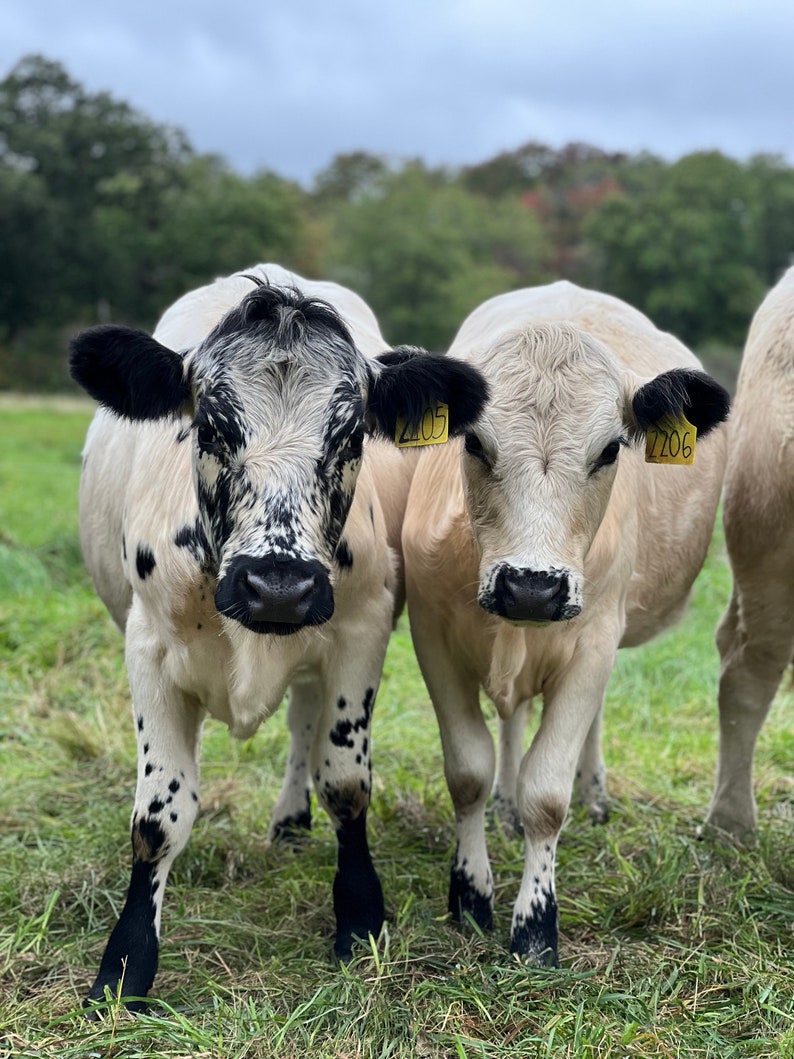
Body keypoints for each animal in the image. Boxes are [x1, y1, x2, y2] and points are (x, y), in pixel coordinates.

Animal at [70, 263, 488, 1010]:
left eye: (350, 436)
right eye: (210, 425)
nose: (279, 586)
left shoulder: (359, 631)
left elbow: (345, 780)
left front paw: (359, 918)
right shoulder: (147, 650)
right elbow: (157, 816)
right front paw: (124, 964)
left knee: (304, 724)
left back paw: (293, 820)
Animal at [402, 280, 730, 965]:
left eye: (609, 450)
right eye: (474, 442)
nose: (532, 586)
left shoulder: (593, 645)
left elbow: (548, 796)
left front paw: (535, 926)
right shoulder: (432, 638)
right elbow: (468, 772)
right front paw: (470, 895)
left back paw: (594, 791)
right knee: (511, 719)